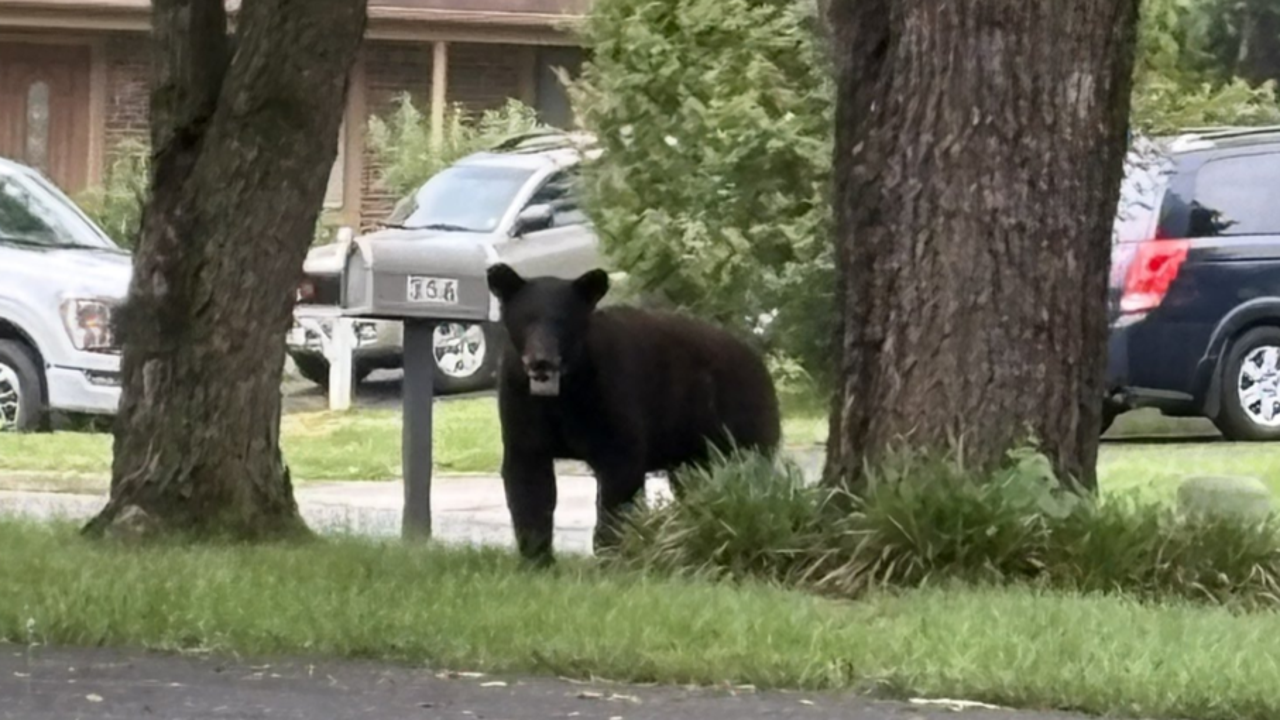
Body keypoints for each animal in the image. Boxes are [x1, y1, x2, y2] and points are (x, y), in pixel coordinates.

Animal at [486, 263, 782, 566]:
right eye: (526, 318)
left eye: (563, 321)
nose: (540, 360)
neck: (564, 389)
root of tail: (757, 361)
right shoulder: (521, 403)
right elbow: (529, 477)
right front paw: (537, 558)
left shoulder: (612, 395)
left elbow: (620, 471)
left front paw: (611, 552)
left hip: (737, 417)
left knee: (747, 466)